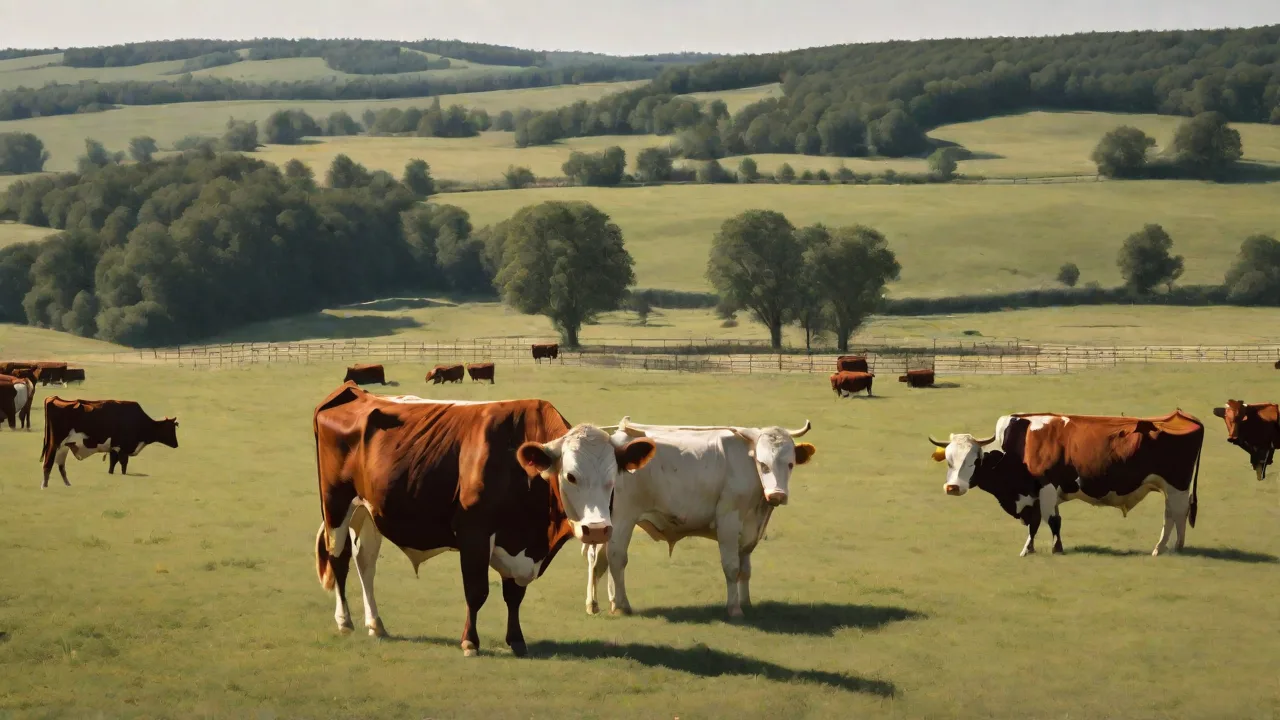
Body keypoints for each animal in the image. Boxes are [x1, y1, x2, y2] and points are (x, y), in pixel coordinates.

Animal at [40, 397, 180, 488]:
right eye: (170, 429)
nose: (176, 444)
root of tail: (53, 398)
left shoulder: (114, 448)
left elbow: (112, 463)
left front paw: (111, 473)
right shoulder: (123, 448)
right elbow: (123, 463)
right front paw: (124, 475)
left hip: (64, 447)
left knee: (60, 465)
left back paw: (67, 483)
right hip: (54, 444)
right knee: (48, 462)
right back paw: (45, 485)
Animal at [312, 384, 656, 657]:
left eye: (613, 479)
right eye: (570, 476)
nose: (597, 530)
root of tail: (353, 391)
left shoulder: (519, 545)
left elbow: (514, 595)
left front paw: (516, 641)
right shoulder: (474, 533)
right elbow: (477, 591)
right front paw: (470, 642)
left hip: (370, 511)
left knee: (365, 561)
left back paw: (376, 624)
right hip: (336, 505)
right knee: (338, 558)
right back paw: (345, 621)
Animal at [584, 416, 816, 619]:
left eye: (790, 464)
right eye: (763, 463)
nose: (777, 495)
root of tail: (615, 444)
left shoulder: (749, 529)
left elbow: (745, 570)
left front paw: (746, 603)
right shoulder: (729, 522)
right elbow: (732, 568)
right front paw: (734, 609)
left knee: (597, 560)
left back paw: (596, 604)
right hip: (623, 518)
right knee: (616, 558)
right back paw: (622, 605)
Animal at [928, 410, 1204, 557]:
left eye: (974, 460)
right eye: (949, 460)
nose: (952, 488)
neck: (1017, 447)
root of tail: (1181, 417)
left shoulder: (1045, 488)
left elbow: (1045, 521)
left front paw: (1036, 549)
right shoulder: (1038, 494)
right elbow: (1049, 522)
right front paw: (1048, 547)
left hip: (1176, 486)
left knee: (1175, 514)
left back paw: (1164, 547)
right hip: (1170, 488)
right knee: (1174, 515)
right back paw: (1174, 546)